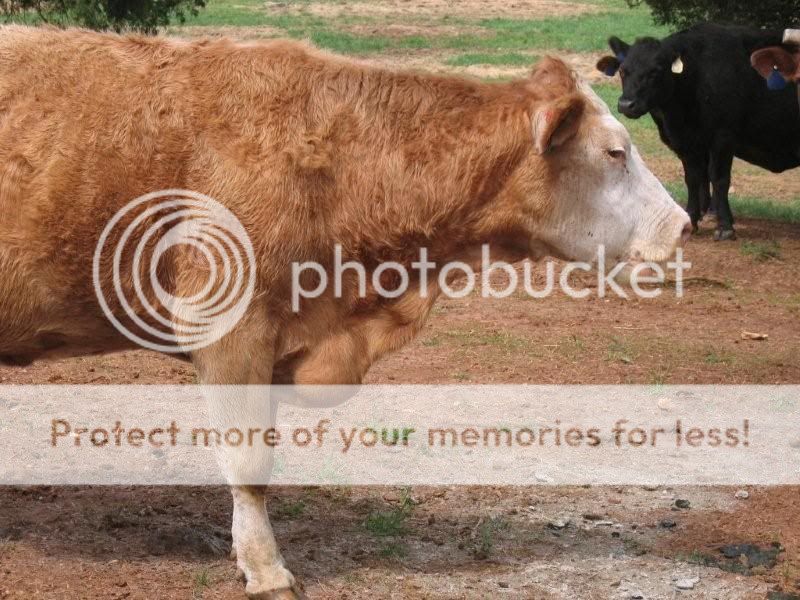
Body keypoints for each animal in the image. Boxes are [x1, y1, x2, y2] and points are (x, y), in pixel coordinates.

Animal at [597, 23, 800, 241]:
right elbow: (693, 178)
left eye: (655, 71)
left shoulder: (723, 137)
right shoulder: (686, 142)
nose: (626, 104)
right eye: (623, 71)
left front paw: (725, 226)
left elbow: (719, 179)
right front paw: (692, 219)